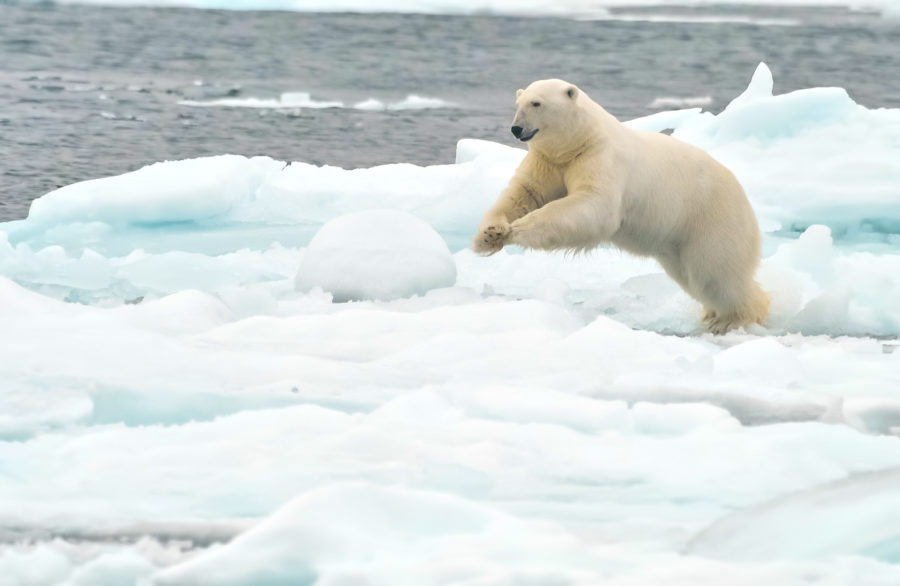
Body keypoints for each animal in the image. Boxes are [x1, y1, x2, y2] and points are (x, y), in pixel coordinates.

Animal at [473, 78, 769, 334]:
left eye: (537, 103)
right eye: (518, 103)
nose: (516, 128)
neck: (581, 140)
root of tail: (746, 202)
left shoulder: (600, 159)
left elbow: (594, 206)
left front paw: (519, 228)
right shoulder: (549, 161)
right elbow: (524, 193)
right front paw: (489, 235)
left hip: (712, 220)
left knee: (716, 274)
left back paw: (733, 319)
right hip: (678, 244)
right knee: (694, 278)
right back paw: (713, 315)